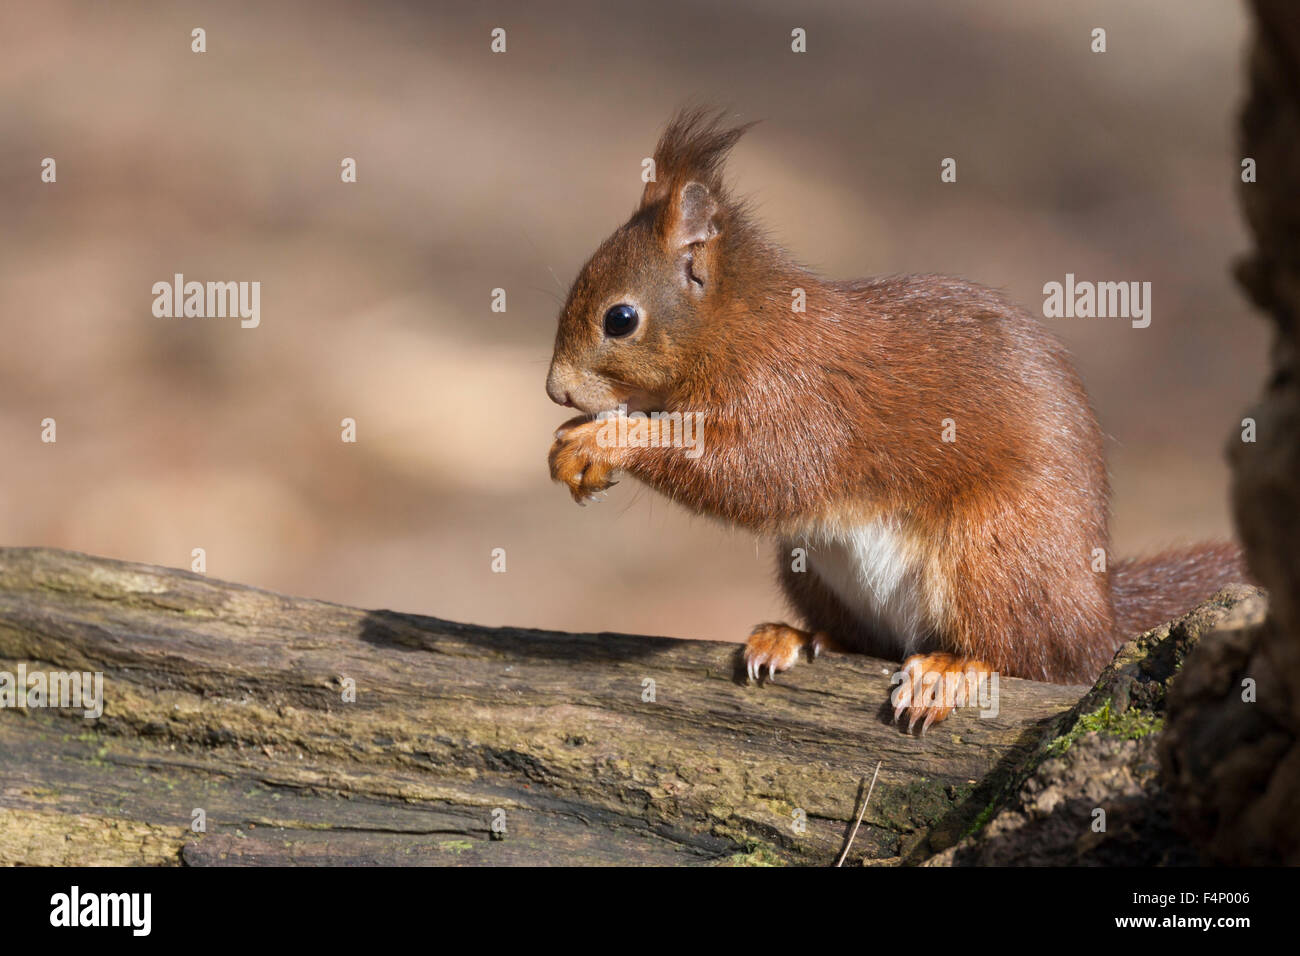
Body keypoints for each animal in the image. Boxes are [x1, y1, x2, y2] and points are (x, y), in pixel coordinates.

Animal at [545, 107, 1247, 732]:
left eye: (620, 319)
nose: (555, 392)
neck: (741, 328)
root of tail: (1098, 615)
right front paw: (575, 444)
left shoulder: (799, 398)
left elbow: (758, 473)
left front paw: (602, 441)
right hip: (811, 569)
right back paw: (792, 636)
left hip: (996, 552)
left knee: (1029, 654)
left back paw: (950, 670)